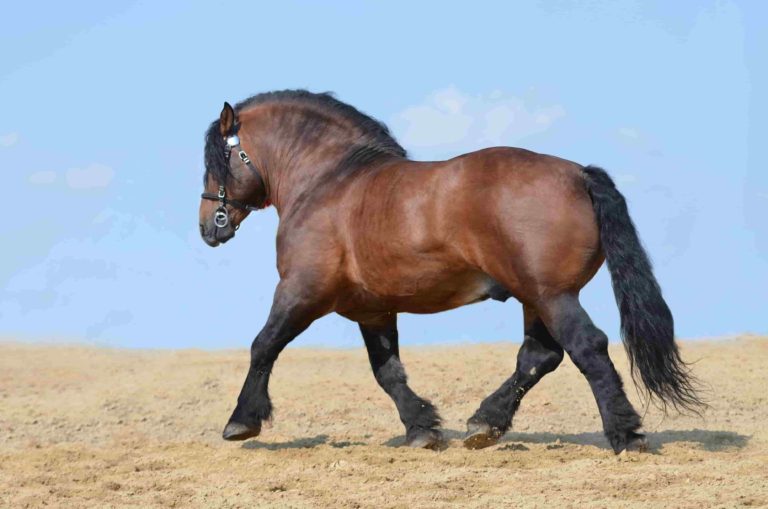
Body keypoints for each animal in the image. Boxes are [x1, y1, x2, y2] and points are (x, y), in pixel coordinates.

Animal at [198, 90, 702, 453]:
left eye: (214, 160)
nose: (208, 227)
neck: (330, 182)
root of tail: (579, 174)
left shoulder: (303, 291)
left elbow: (264, 345)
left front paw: (241, 421)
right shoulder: (373, 310)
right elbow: (388, 372)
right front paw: (422, 428)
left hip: (552, 295)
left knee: (587, 348)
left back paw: (625, 434)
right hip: (536, 298)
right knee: (539, 357)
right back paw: (485, 423)